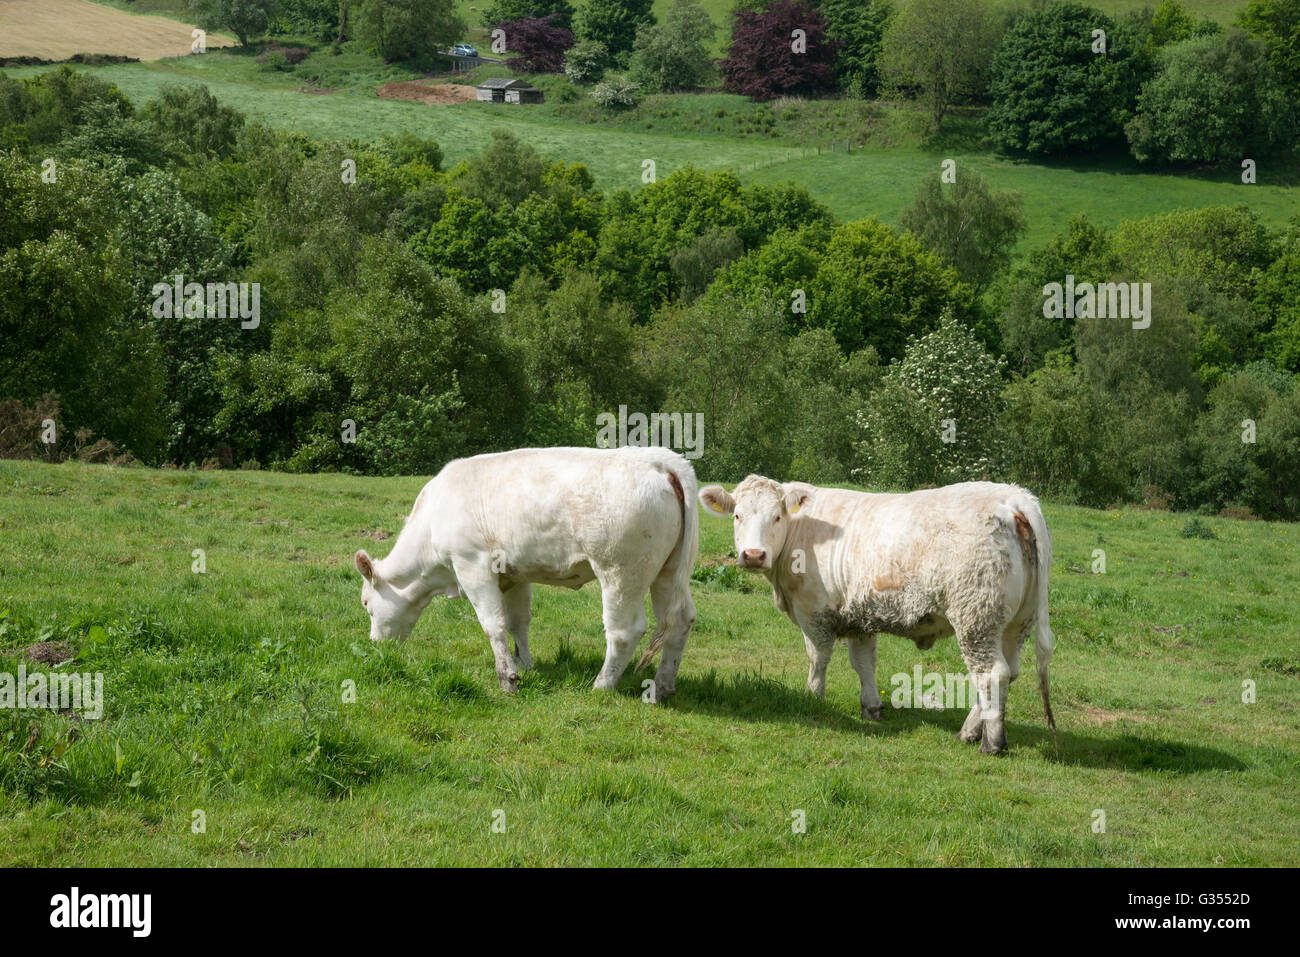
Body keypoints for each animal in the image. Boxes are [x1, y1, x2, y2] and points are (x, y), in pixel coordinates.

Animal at [354, 446, 699, 701]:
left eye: (366, 604)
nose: (376, 645)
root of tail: (658, 460)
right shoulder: (514, 576)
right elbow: (518, 623)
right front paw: (526, 665)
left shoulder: (472, 566)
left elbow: (493, 625)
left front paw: (507, 677)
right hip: (667, 573)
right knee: (680, 621)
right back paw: (662, 687)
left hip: (621, 573)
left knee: (625, 631)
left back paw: (602, 685)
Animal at [694, 476, 1055, 754]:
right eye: (737, 515)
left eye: (777, 518)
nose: (754, 555)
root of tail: (1013, 498)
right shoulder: (859, 616)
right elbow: (863, 662)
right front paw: (871, 706)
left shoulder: (813, 611)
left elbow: (817, 657)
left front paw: (813, 698)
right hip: (1014, 623)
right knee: (1009, 672)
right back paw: (971, 731)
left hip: (976, 617)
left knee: (991, 673)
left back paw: (990, 743)